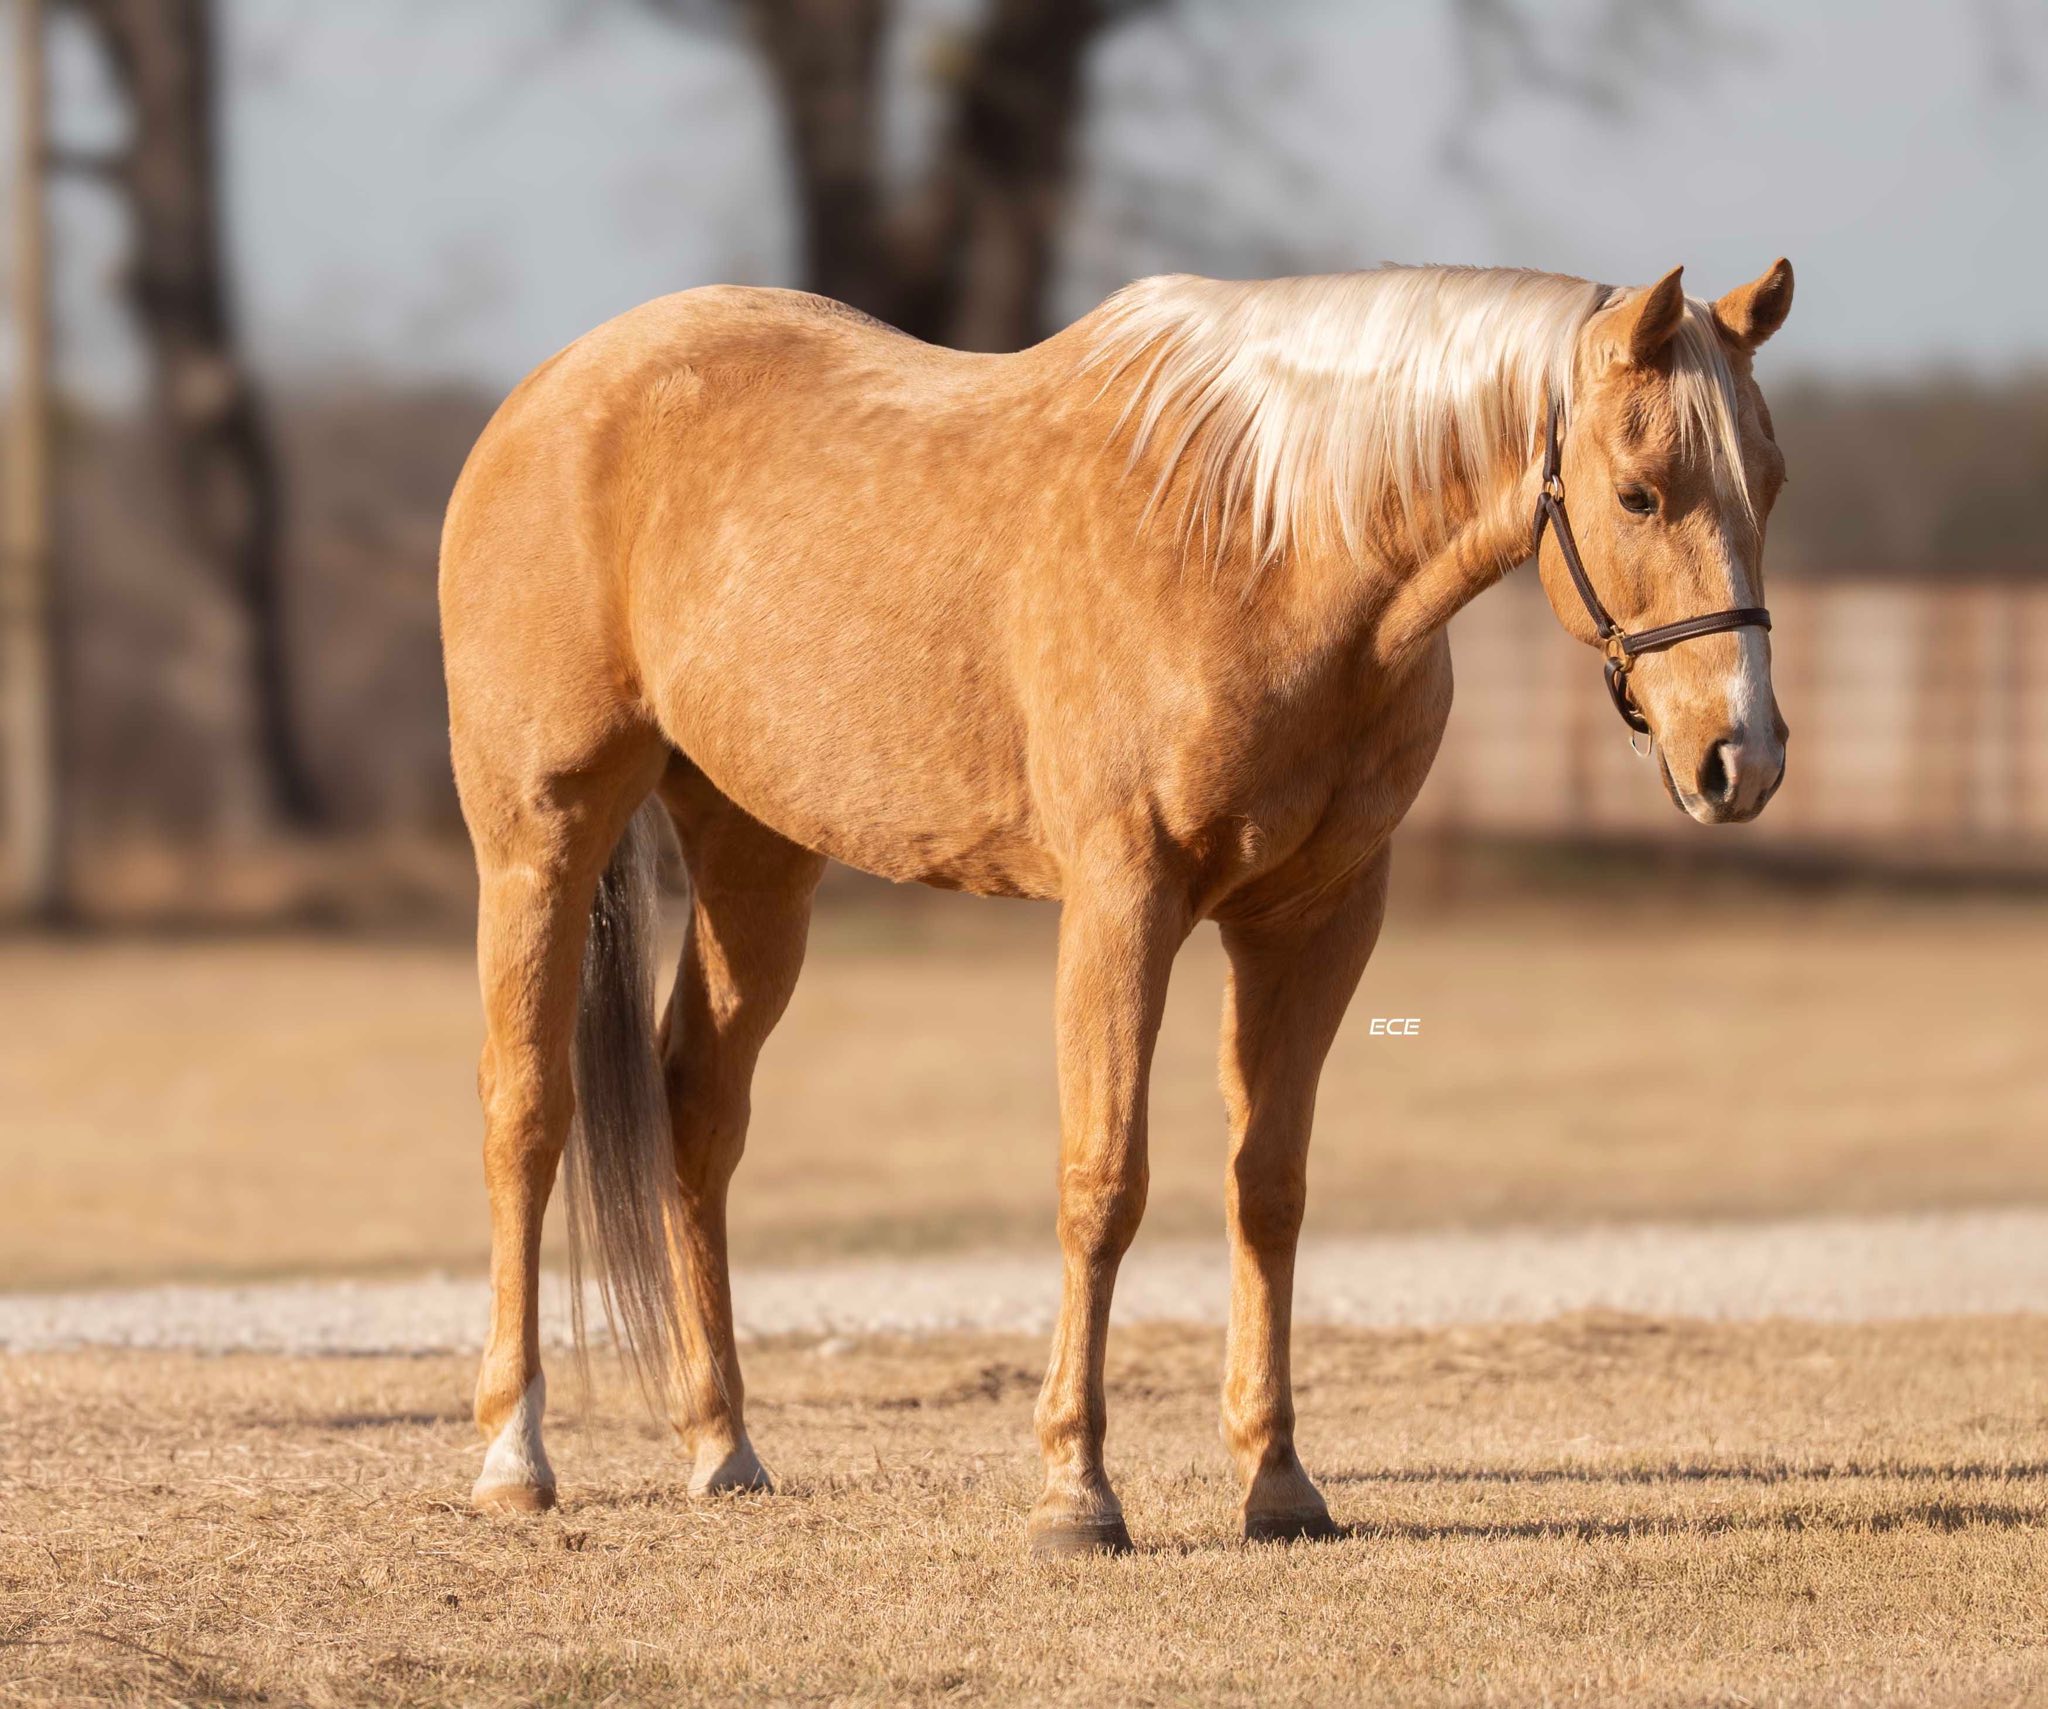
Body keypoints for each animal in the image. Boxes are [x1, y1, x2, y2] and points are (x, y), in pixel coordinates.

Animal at [439, 257, 1794, 1555]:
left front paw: (1277, 1481)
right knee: (523, 1116)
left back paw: (722, 1442)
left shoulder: (1314, 918)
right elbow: (1103, 1183)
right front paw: (1075, 1495)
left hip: (754, 853)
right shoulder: (1120, 900)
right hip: (538, 839)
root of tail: (547, 393)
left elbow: (1269, 1186)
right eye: (1639, 494)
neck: (1265, 541)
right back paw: (513, 1457)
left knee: (698, 1111)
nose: (1741, 758)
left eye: (1767, 486)